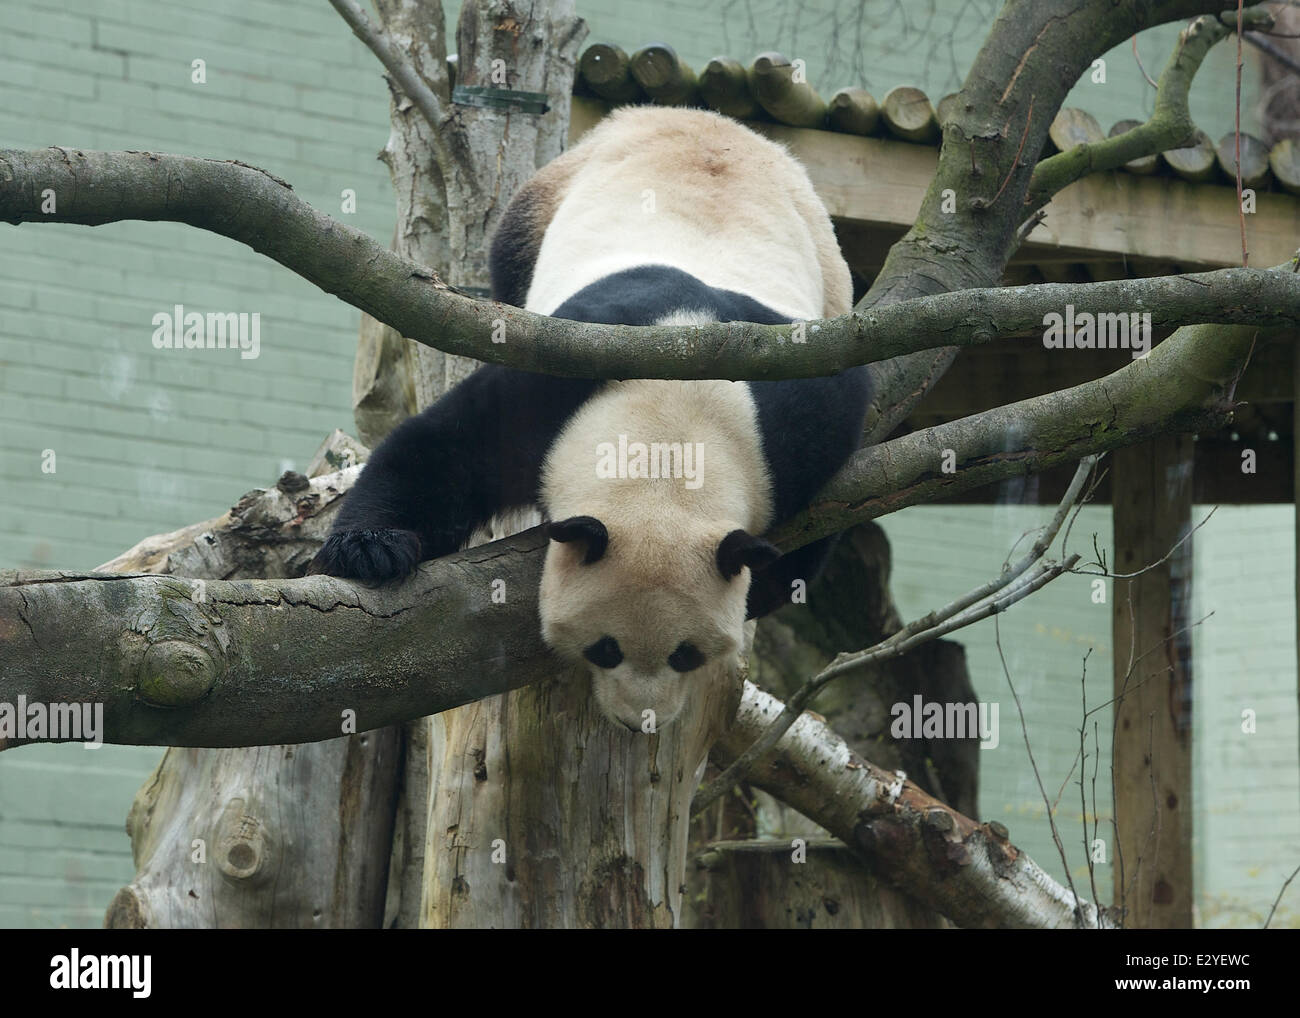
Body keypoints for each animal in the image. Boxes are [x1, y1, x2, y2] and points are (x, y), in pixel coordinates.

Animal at [309, 106, 871, 732]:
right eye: (606, 648)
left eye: (686, 654)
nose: (639, 722)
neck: (666, 436)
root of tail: (698, 114)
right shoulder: (564, 368)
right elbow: (442, 450)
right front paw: (370, 551)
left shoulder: (795, 421)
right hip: (546, 199)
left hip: (828, 266)